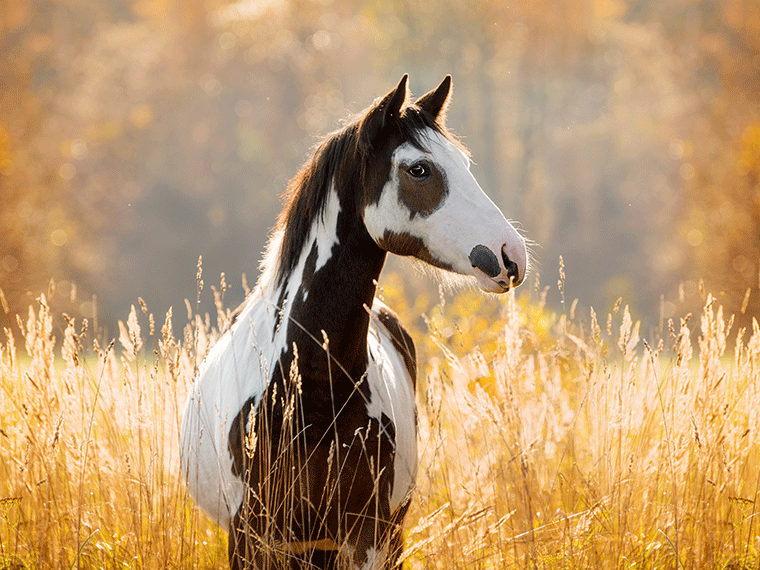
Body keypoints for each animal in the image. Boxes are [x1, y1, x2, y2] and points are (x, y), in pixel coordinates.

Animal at [180, 74, 528, 570]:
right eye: (419, 169)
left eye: (463, 162)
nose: (510, 254)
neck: (311, 386)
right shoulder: (250, 538)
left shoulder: (367, 534)